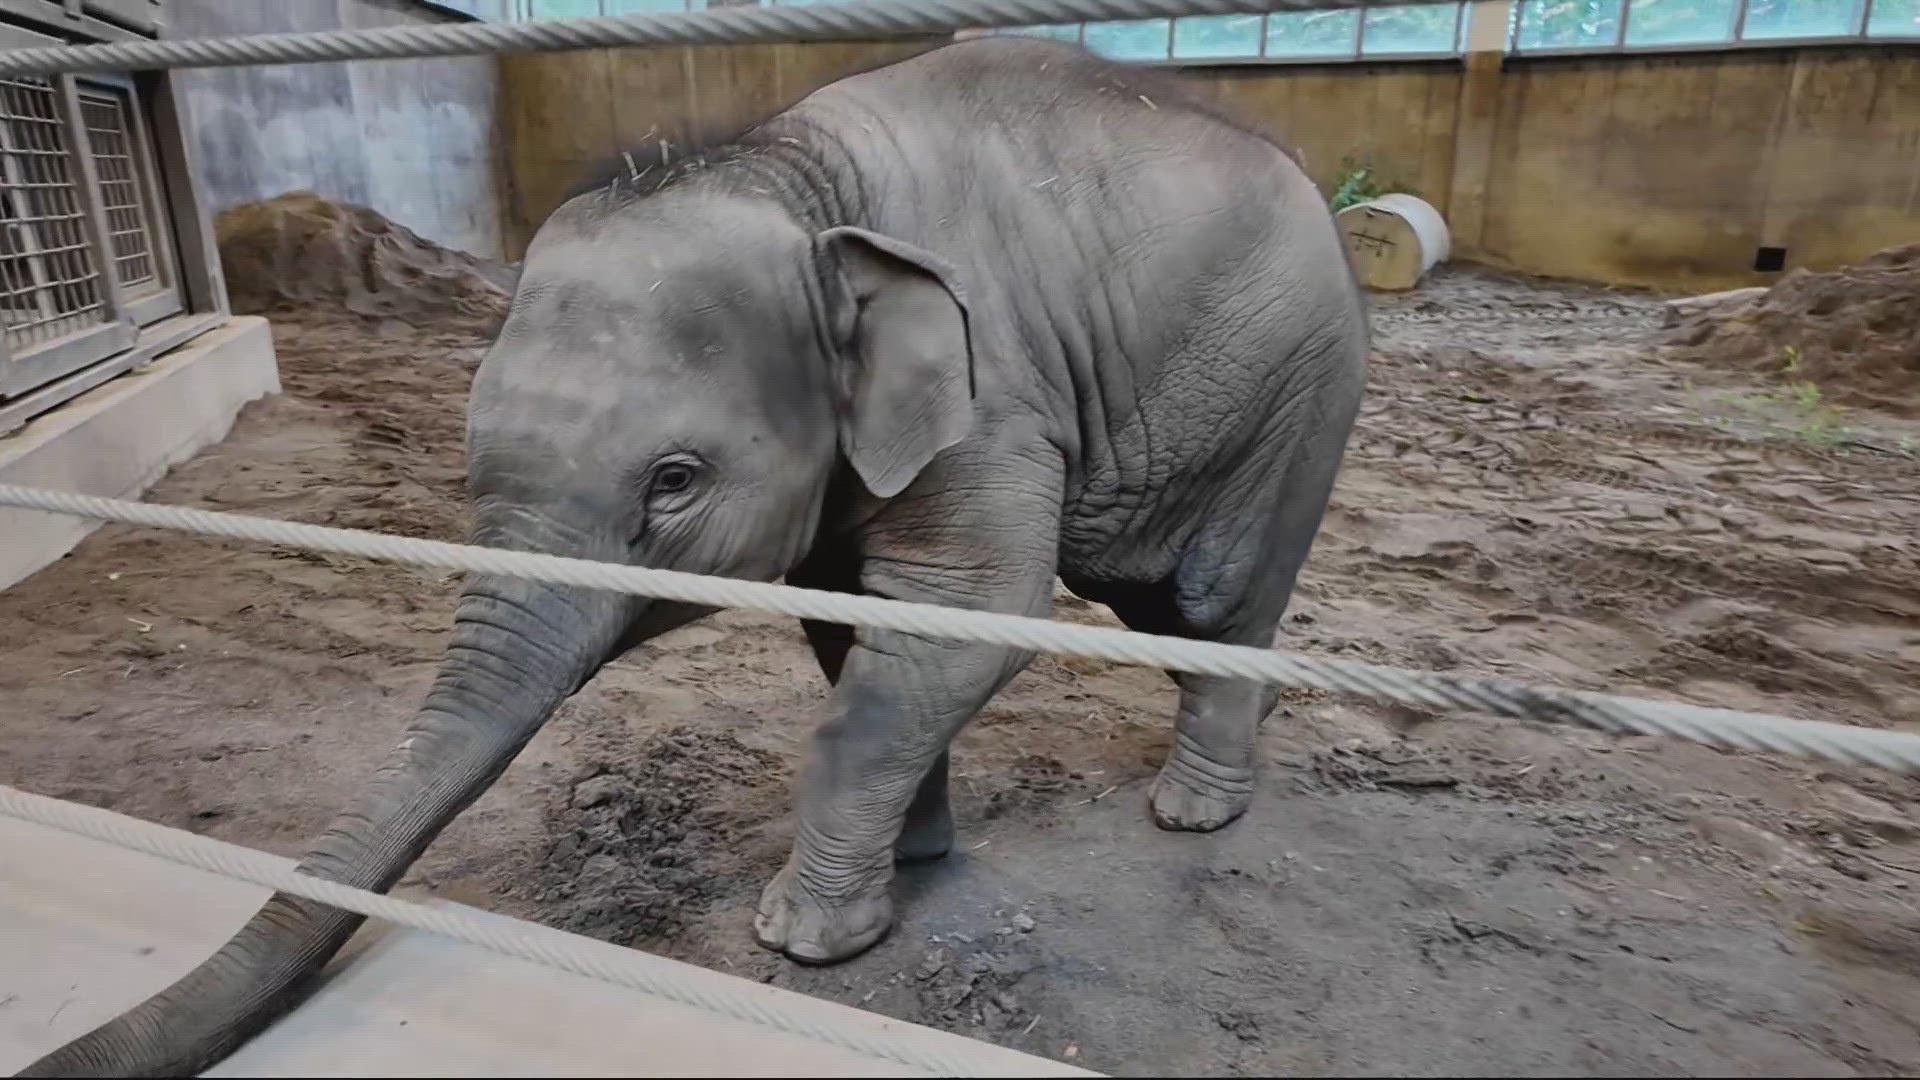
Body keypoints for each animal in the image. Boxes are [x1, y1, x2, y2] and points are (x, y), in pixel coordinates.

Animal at [22, 35, 1366, 1077]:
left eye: (673, 483)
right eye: (469, 460)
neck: (797, 181)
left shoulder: (995, 399)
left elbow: (967, 609)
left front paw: (804, 942)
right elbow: (853, 625)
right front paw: (912, 861)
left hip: (1301, 386)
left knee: (1218, 592)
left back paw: (1195, 813)